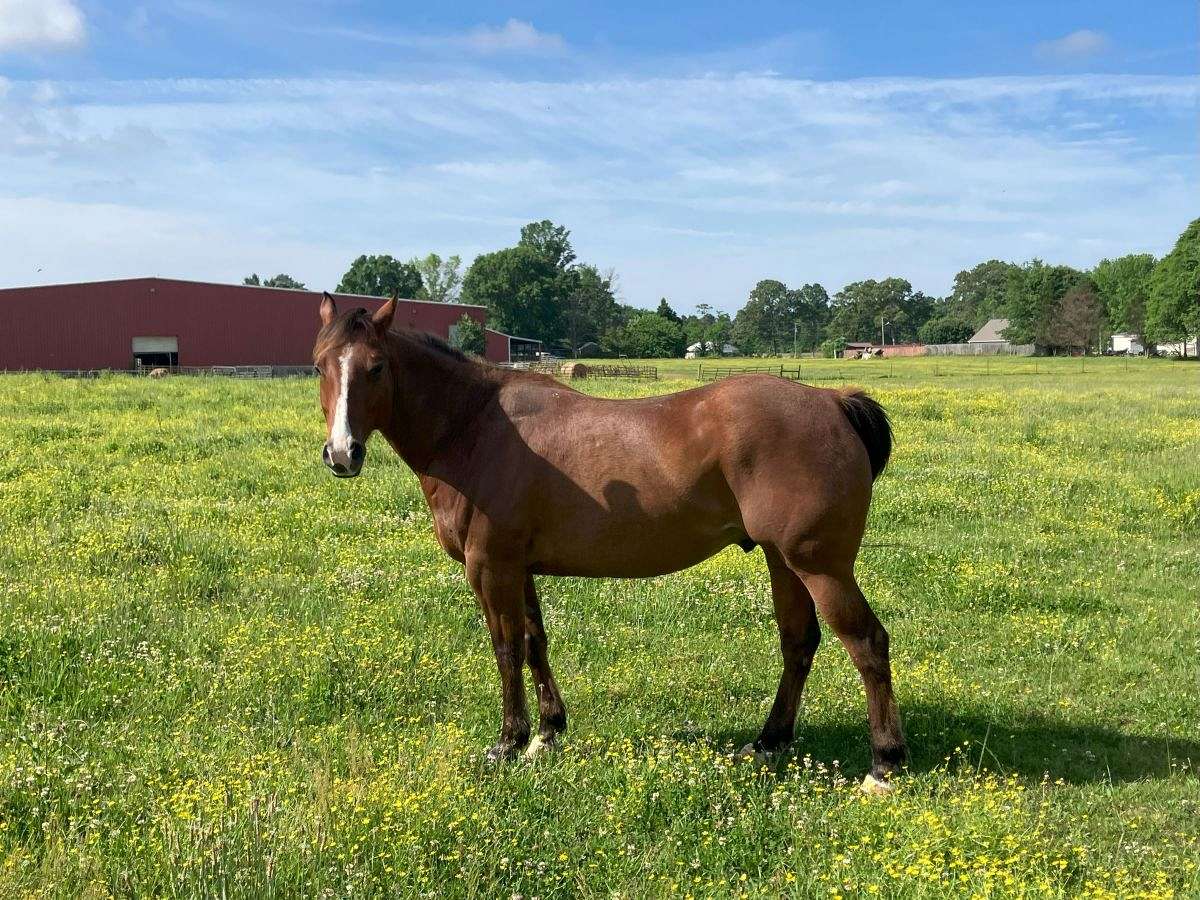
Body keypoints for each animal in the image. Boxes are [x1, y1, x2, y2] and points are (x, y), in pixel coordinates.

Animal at [313, 294, 907, 793]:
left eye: (376, 367)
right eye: (320, 365)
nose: (342, 454)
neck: (475, 426)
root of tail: (833, 402)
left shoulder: (490, 567)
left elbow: (506, 649)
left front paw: (509, 743)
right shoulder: (519, 567)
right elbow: (534, 642)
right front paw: (547, 733)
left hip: (820, 567)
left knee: (868, 644)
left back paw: (883, 765)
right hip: (783, 562)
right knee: (798, 643)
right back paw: (768, 742)